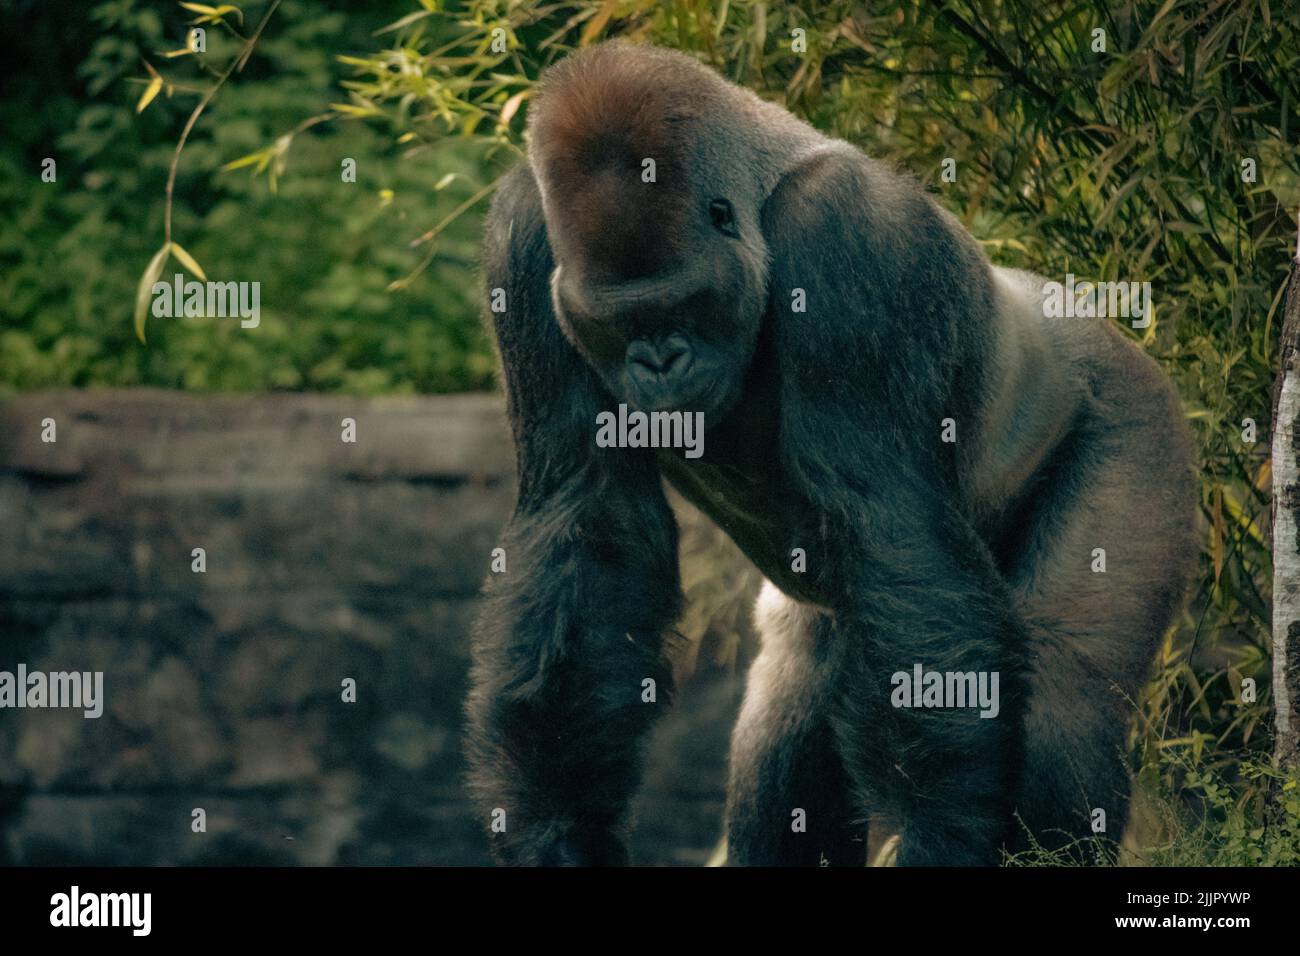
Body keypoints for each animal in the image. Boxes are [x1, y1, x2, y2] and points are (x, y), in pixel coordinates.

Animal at [463, 41, 1198, 866]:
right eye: (619, 323)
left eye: (681, 305)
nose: (658, 362)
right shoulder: (524, 243)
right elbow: (590, 525)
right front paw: (558, 833)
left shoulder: (845, 231)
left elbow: (887, 524)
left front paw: (941, 840)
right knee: (795, 702)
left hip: (1137, 416)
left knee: (1067, 694)